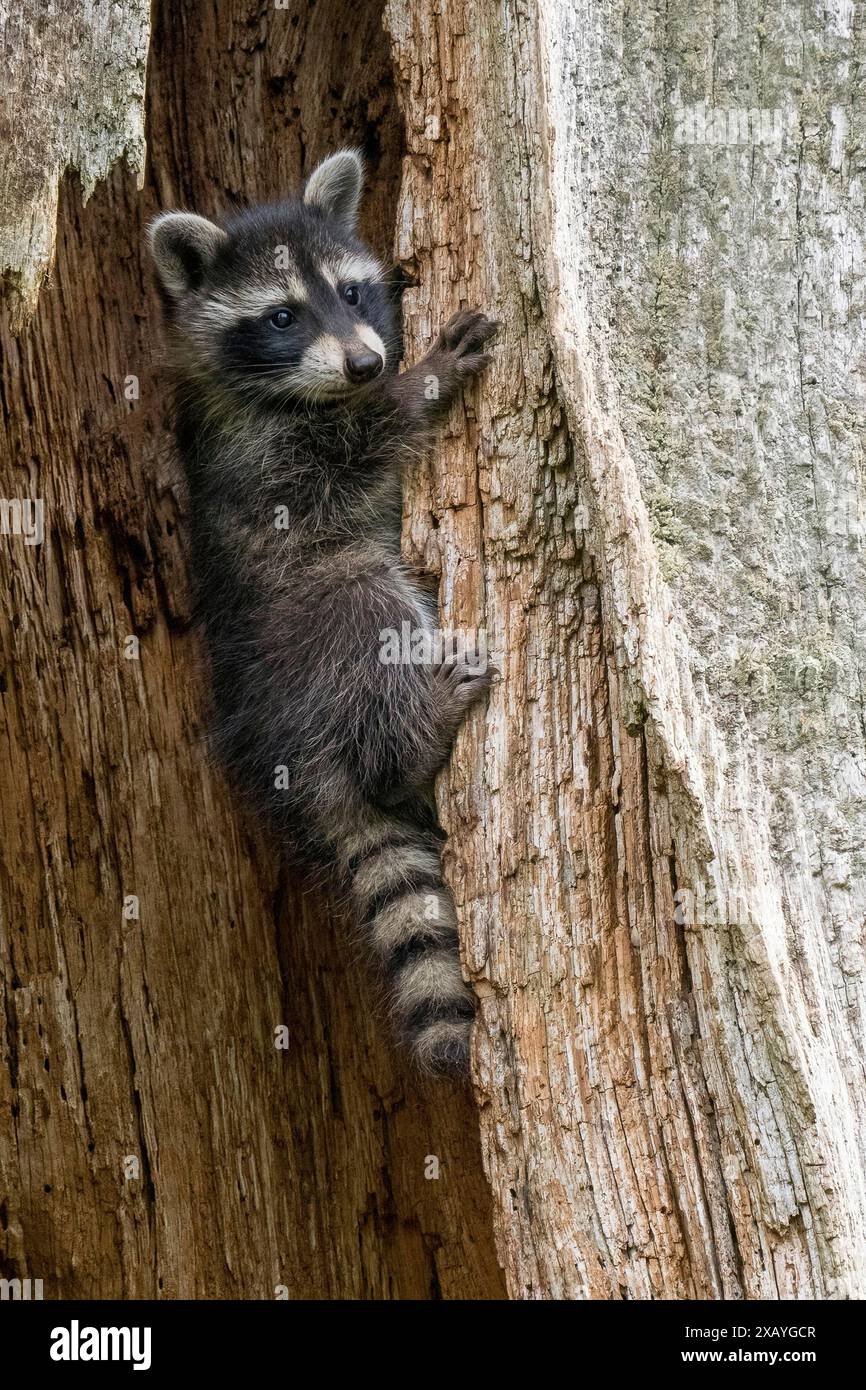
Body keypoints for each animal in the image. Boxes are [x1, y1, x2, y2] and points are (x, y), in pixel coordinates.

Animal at [148, 152, 497, 1073]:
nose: (369, 367)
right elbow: (354, 451)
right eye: (281, 316)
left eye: (350, 293)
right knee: (366, 613)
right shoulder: (262, 460)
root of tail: (295, 756)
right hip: (317, 622)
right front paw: (421, 381)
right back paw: (417, 732)